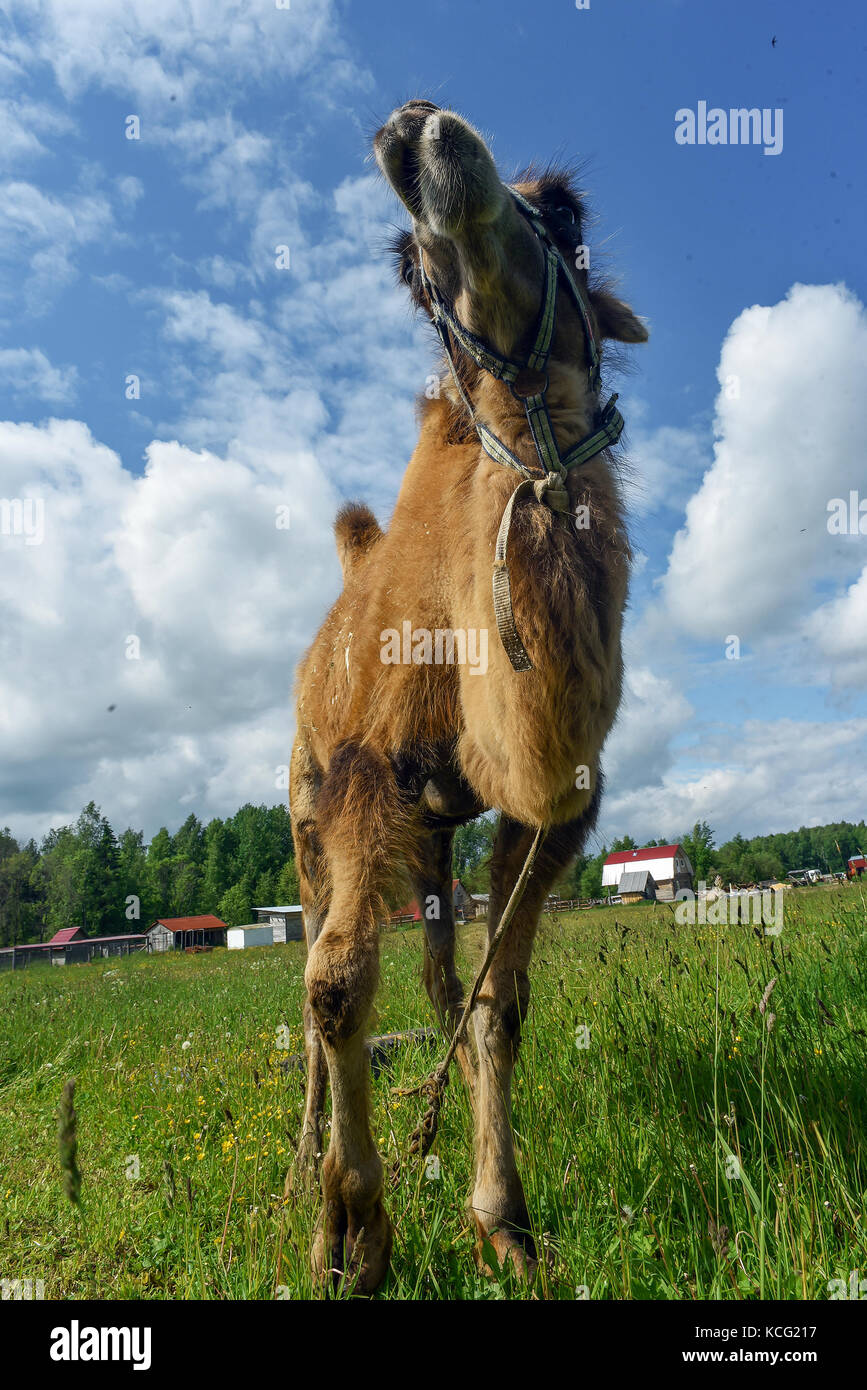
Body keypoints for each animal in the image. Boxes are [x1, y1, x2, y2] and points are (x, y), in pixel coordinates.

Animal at [289, 100, 648, 1292]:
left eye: (570, 212)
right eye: (409, 274)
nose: (416, 133)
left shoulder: (559, 800)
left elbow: (500, 1005)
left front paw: (504, 1221)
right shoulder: (363, 779)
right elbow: (338, 986)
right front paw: (349, 1232)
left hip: (437, 827)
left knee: (442, 980)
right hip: (306, 816)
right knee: (310, 969)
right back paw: (305, 1159)